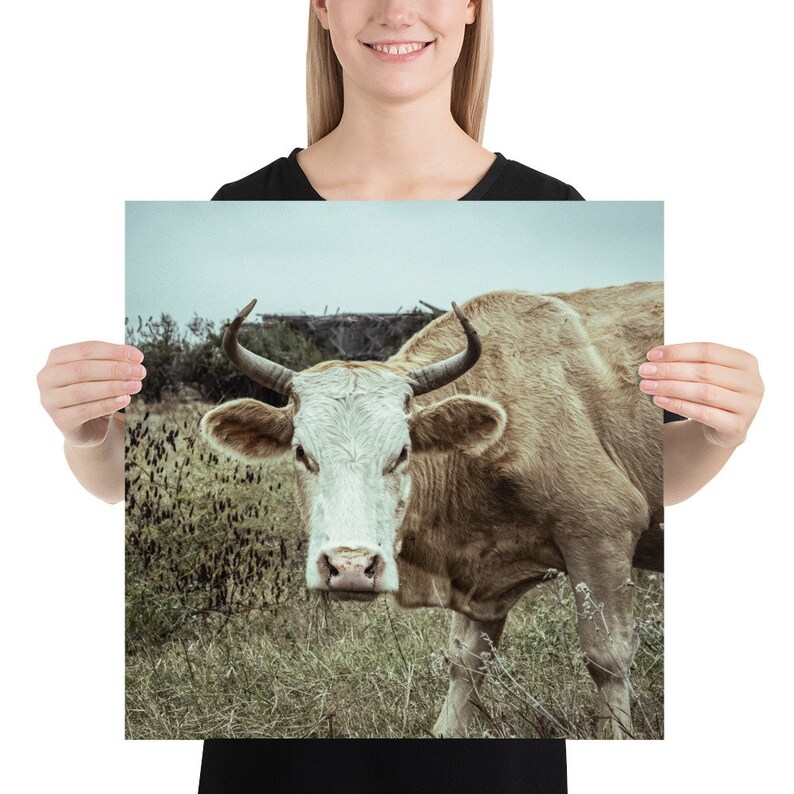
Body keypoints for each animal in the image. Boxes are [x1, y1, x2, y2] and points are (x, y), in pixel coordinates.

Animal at [200, 283, 664, 739]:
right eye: (301, 452)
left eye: (401, 453)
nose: (350, 568)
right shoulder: (484, 579)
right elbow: (466, 662)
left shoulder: (600, 534)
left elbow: (608, 657)